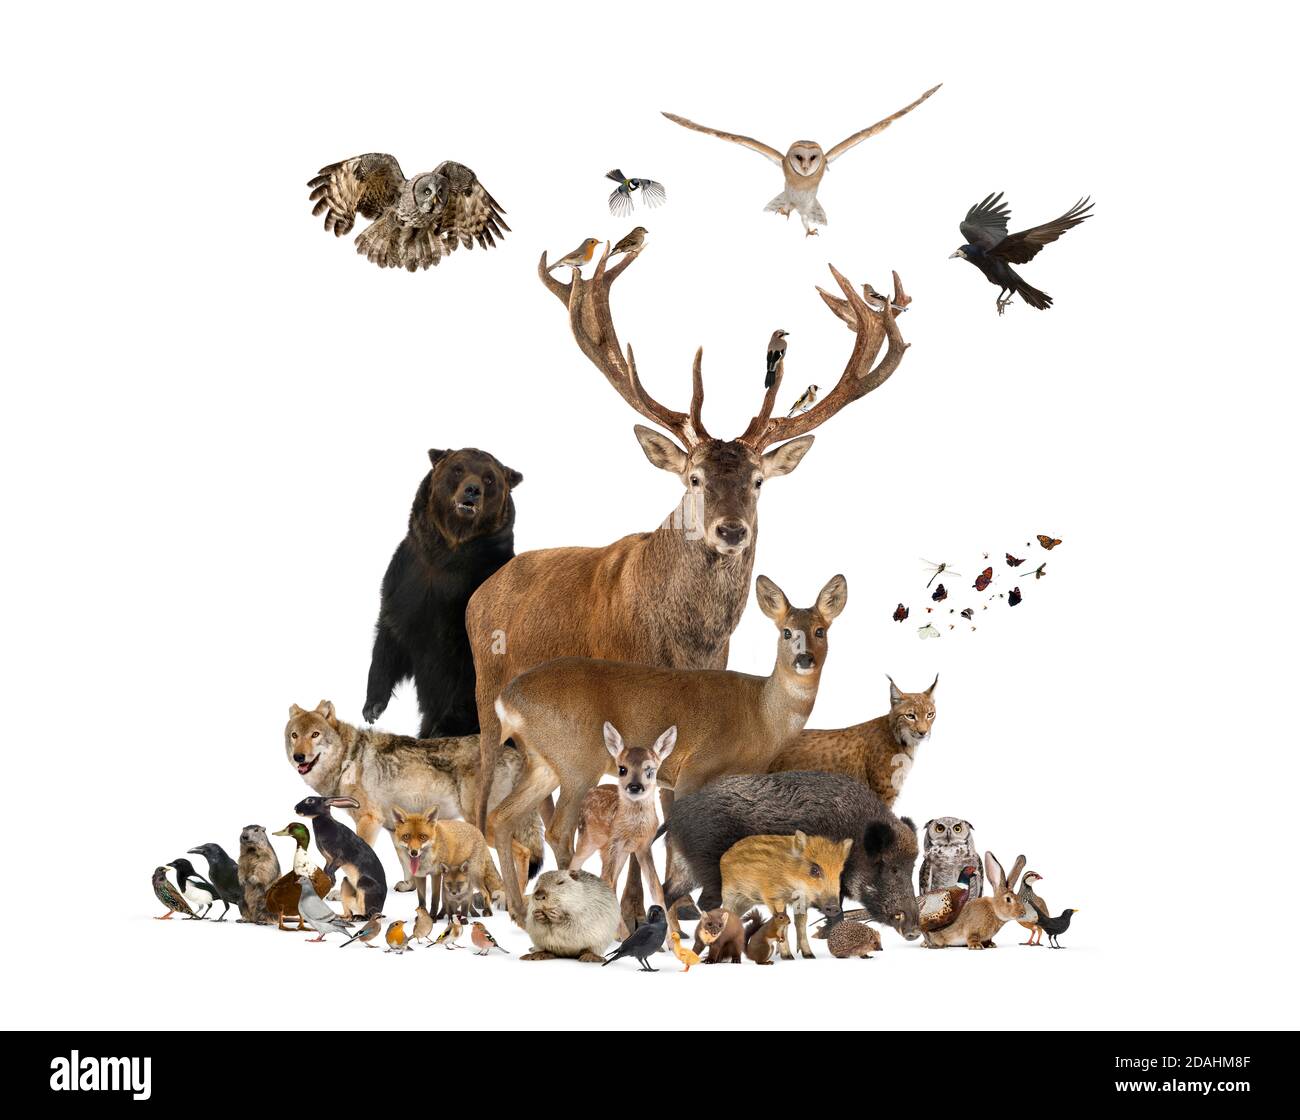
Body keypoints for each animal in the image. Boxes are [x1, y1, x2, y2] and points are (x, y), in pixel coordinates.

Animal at [572, 722, 677, 936]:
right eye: (622, 769)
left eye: (650, 770)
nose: (635, 786)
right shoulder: (615, 843)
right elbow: (610, 884)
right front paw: (626, 936)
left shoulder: (643, 847)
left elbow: (656, 888)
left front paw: (671, 939)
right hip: (588, 839)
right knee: (576, 865)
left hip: (615, 853)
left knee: (609, 880)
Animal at [716, 831, 853, 960]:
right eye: (814, 870)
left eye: (839, 873)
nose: (835, 908)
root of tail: (725, 855)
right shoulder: (775, 898)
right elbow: (783, 925)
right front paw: (788, 957)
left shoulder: (801, 903)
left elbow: (801, 925)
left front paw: (809, 955)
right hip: (729, 895)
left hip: (744, 903)